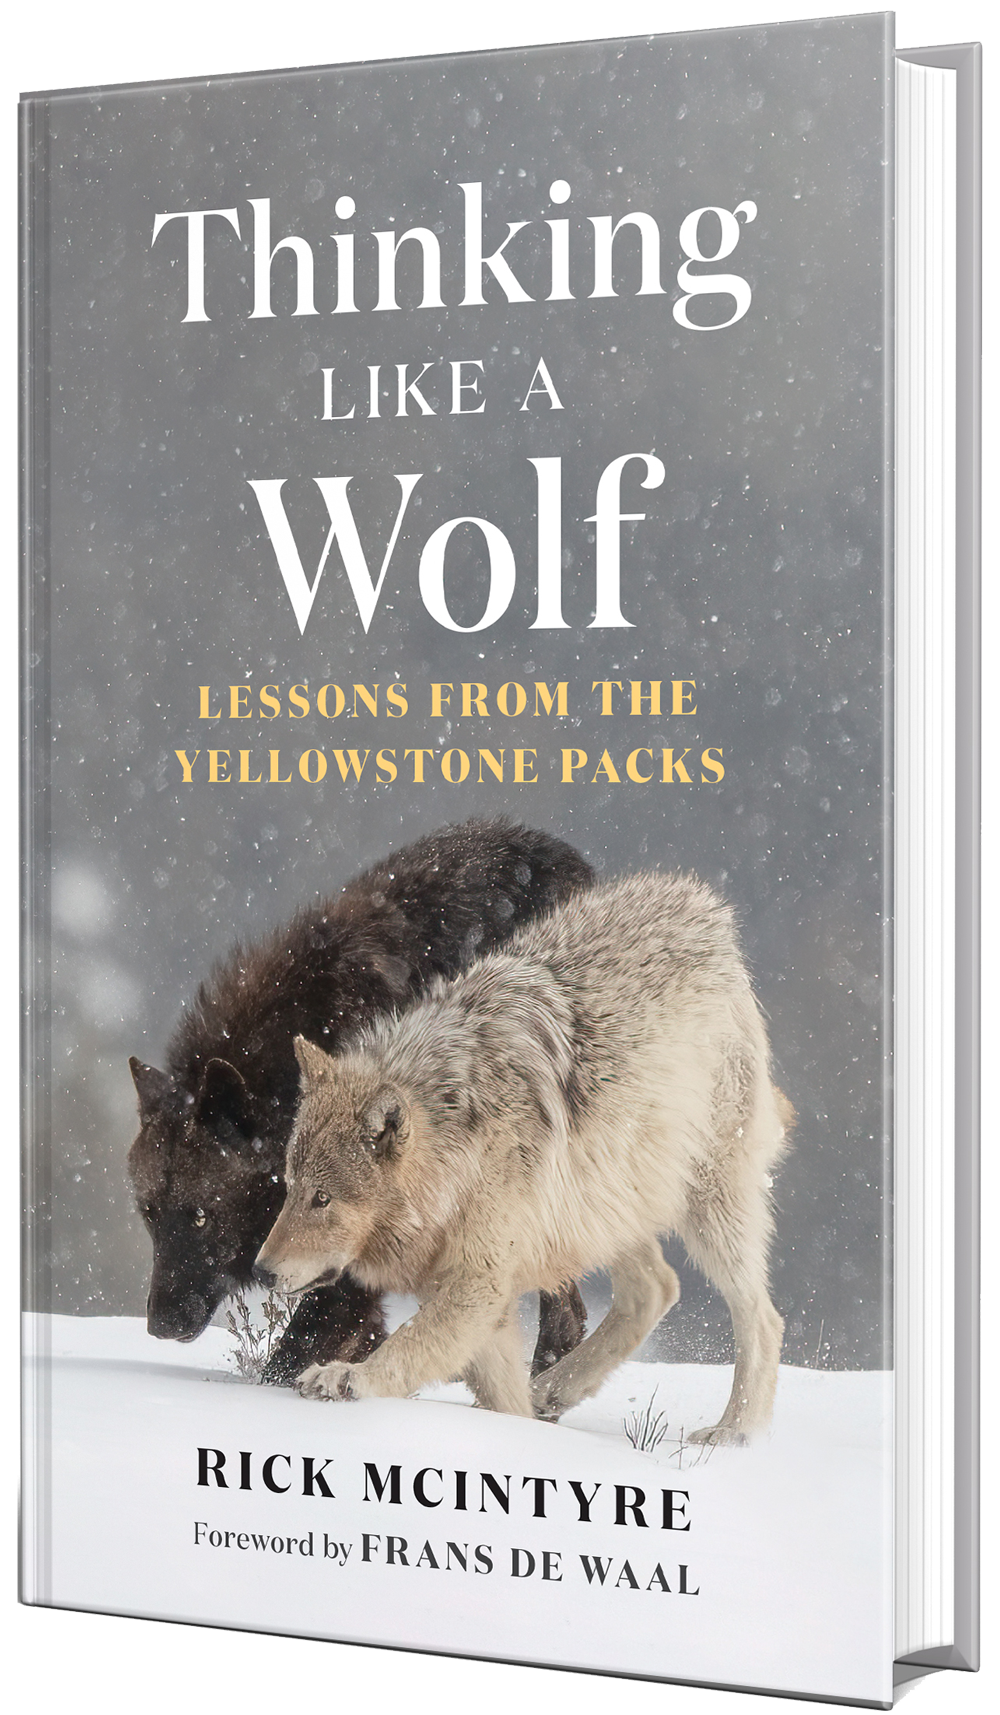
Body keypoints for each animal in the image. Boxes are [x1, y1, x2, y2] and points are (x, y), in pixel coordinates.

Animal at [128, 818, 593, 1384]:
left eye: (201, 1216)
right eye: (150, 1214)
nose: (160, 1325)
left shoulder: (351, 1267)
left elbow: (288, 1359)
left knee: (567, 1312)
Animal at [256, 870, 793, 1442]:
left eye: (323, 1199)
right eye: (291, 1188)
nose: (261, 1271)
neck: (458, 1142)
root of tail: (707, 908)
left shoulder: (480, 1284)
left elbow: (407, 1346)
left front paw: (345, 1378)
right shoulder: (474, 1293)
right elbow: (501, 1401)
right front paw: (524, 1433)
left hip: (707, 1208)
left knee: (761, 1318)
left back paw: (734, 1433)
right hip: (602, 1209)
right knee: (655, 1288)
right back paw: (554, 1391)